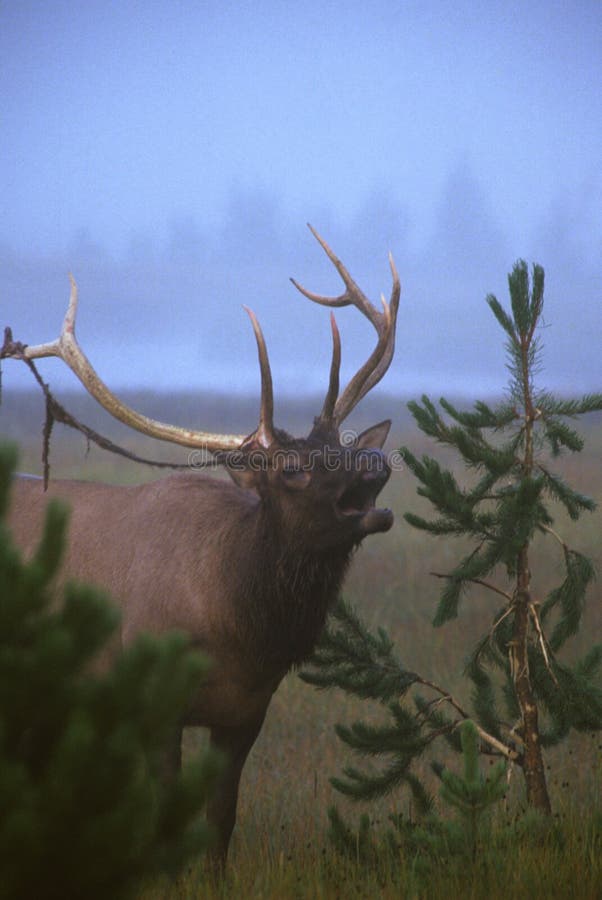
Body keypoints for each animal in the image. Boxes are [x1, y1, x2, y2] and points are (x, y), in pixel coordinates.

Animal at [3, 225, 400, 864]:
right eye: (292, 468)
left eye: (341, 442)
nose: (373, 461)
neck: (237, 628)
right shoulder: (154, 700)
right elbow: (168, 814)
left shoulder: (247, 711)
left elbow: (221, 821)